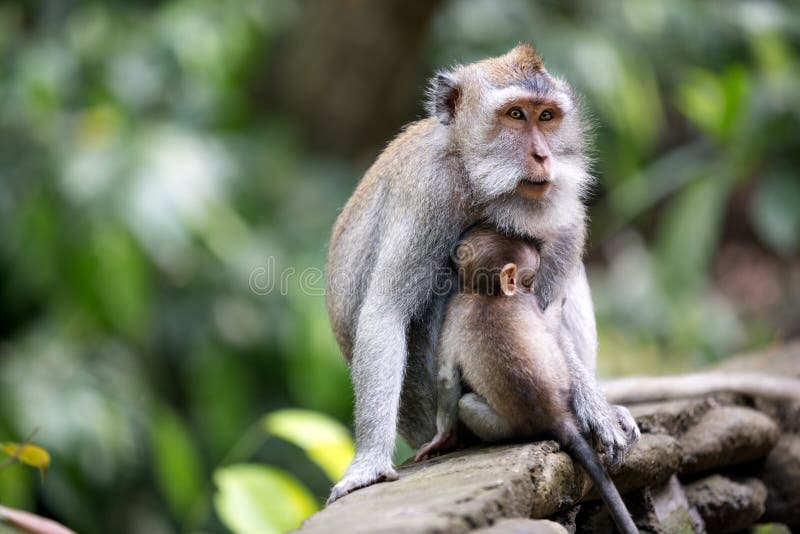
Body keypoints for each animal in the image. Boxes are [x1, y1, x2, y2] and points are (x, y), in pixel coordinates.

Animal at [414, 224, 638, 534]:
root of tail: (556, 417)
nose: (532, 287)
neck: (487, 294)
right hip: (509, 426)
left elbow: (447, 375)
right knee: (466, 404)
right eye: (530, 280)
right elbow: (448, 377)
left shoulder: (454, 313)